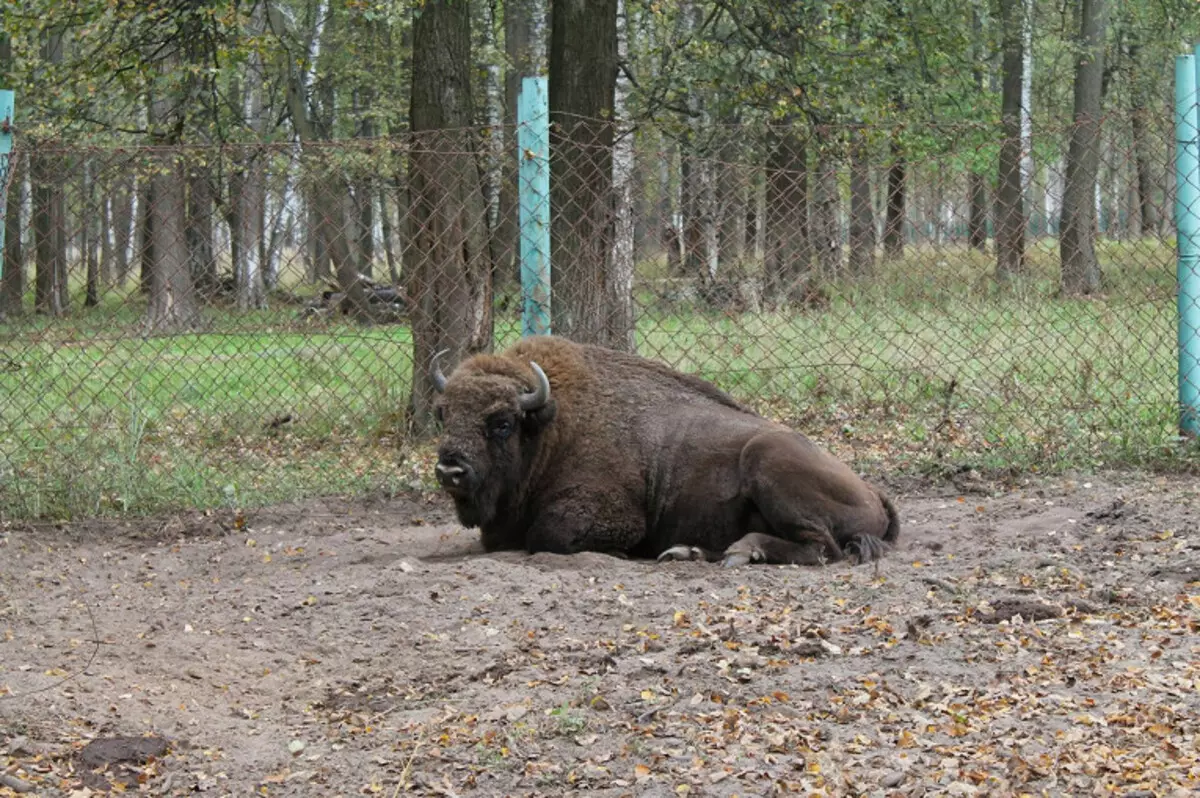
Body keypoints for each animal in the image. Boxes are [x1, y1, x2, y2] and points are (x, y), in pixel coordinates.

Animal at [429, 336, 892, 566]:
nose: (450, 471)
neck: (552, 428)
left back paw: (743, 551)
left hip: (768, 462)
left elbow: (548, 536)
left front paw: (620, 553)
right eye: (442, 414)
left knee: (823, 548)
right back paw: (689, 552)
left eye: (502, 423)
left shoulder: (611, 514)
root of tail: (874, 490)